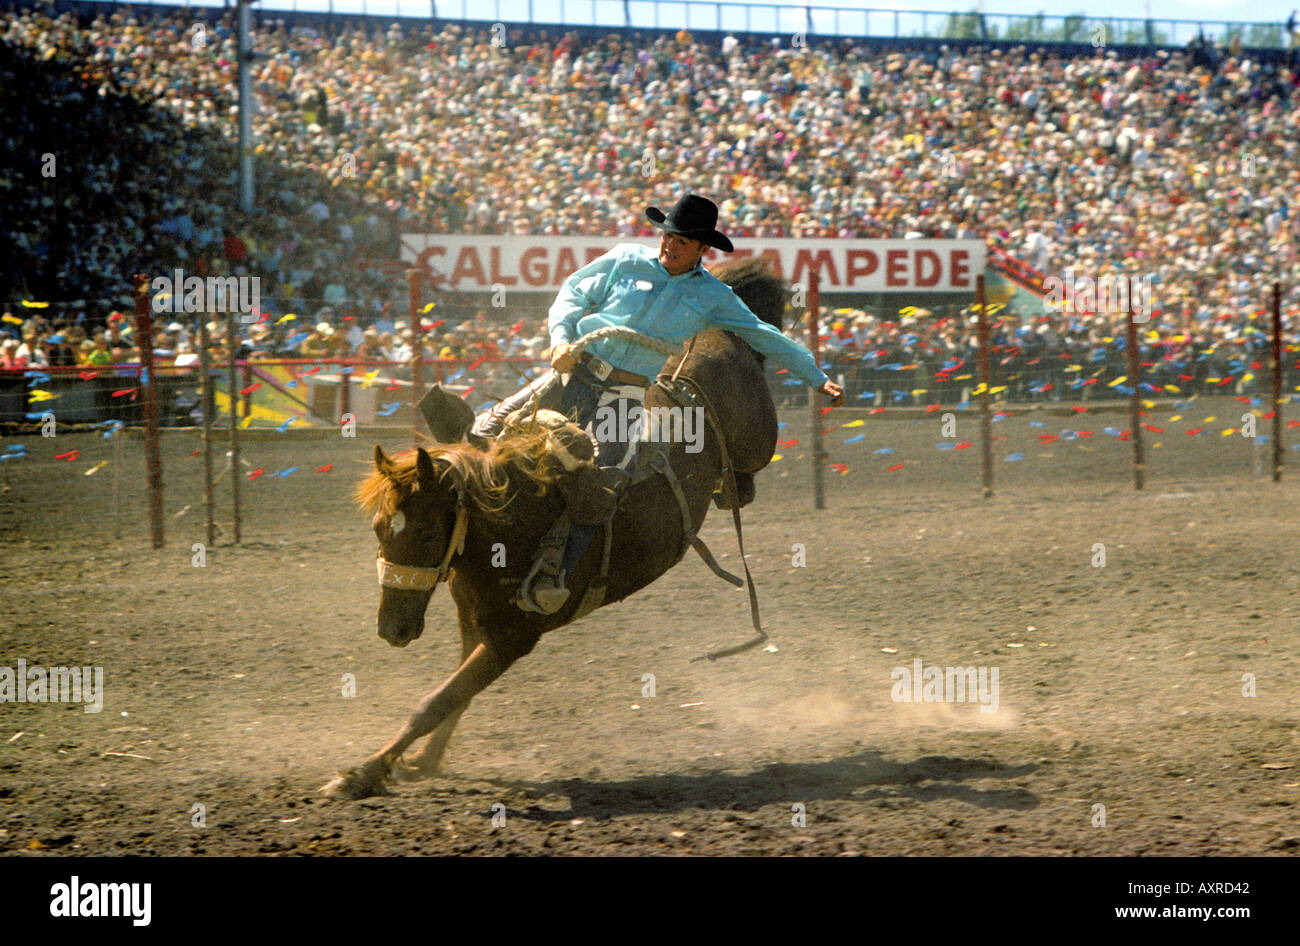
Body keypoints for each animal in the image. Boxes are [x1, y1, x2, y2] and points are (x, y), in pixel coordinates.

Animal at [322, 258, 785, 800]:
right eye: (379, 529)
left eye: (427, 534)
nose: (392, 630)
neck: (503, 526)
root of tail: (710, 332)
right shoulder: (473, 619)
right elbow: (456, 695)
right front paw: (424, 760)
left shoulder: (514, 636)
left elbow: (436, 700)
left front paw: (363, 773)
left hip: (758, 431)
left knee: (761, 408)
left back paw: (741, 482)